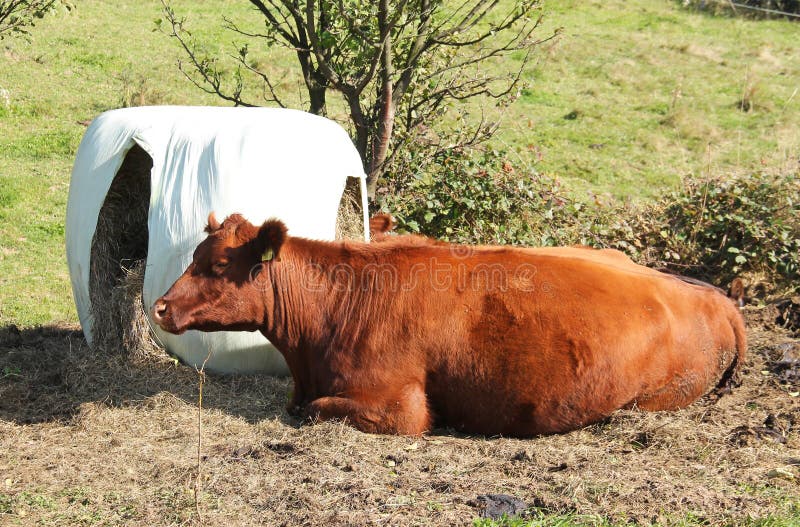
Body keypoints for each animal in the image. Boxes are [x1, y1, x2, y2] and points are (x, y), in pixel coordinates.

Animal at [151, 213, 747, 437]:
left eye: (218, 265)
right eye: (195, 255)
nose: (158, 307)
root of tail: (716, 298)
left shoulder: (399, 407)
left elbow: (316, 410)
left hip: (652, 399)